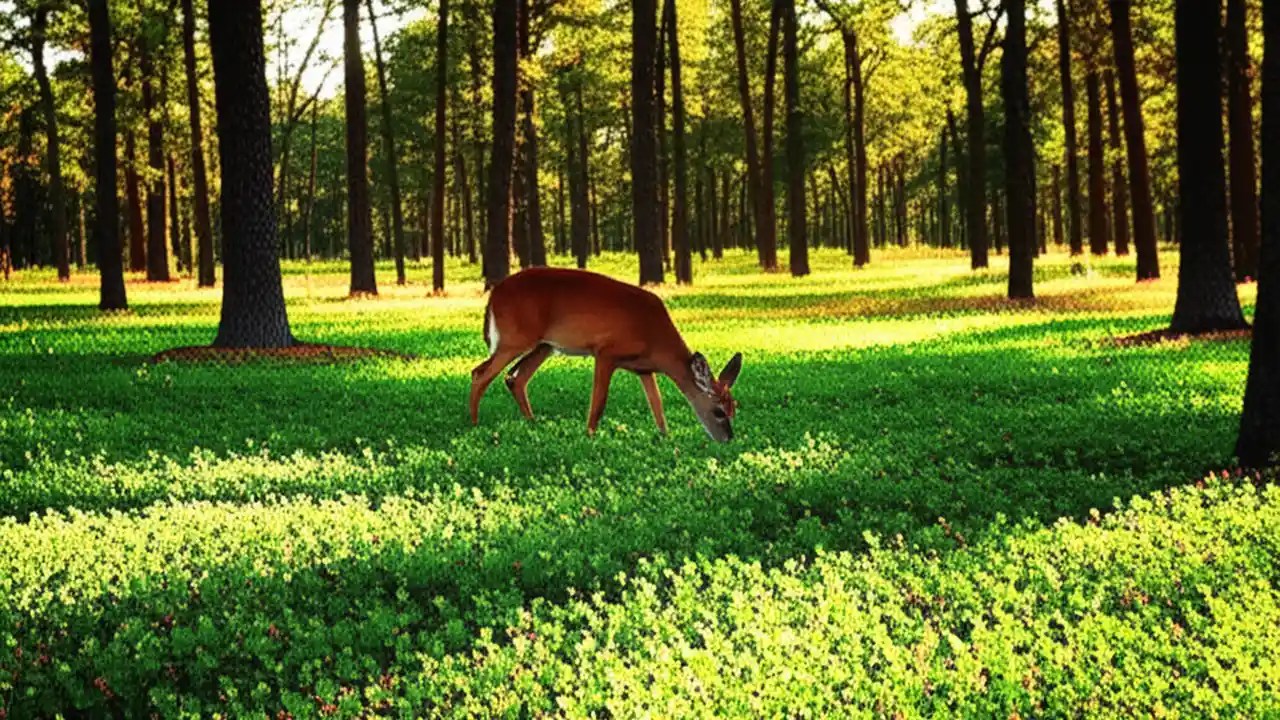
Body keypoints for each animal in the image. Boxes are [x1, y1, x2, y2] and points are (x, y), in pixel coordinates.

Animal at [469, 267, 743, 442]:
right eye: (718, 411)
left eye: (734, 409)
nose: (728, 439)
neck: (655, 340)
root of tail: (494, 294)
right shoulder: (605, 352)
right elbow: (599, 402)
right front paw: (589, 436)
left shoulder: (644, 369)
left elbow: (657, 406)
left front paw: (666, 437)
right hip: (514, 339)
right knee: (480, 373)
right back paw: (474, 424)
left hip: (545, 345)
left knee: (516, 378)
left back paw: (532, 423)